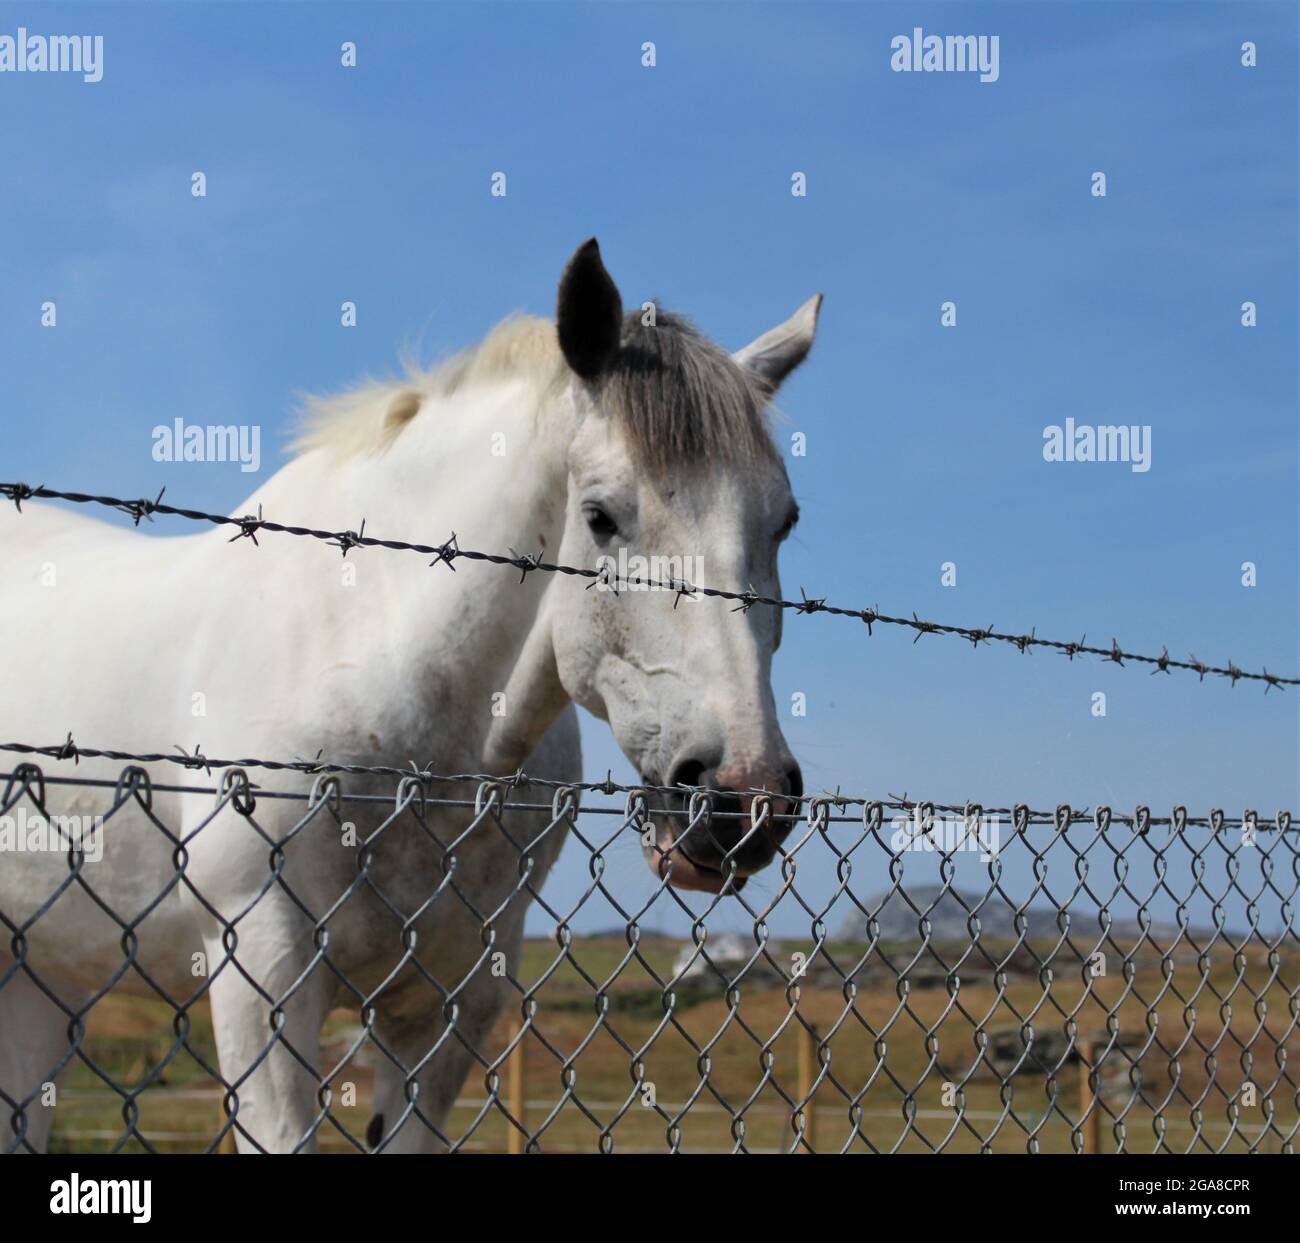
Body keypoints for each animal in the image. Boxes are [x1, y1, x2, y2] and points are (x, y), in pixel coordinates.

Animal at [0, 239, 821, 1152]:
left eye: (783, 520)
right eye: (602, 516)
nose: (741, 796)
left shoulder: (450, 998)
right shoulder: (263, 970)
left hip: (40, 977)